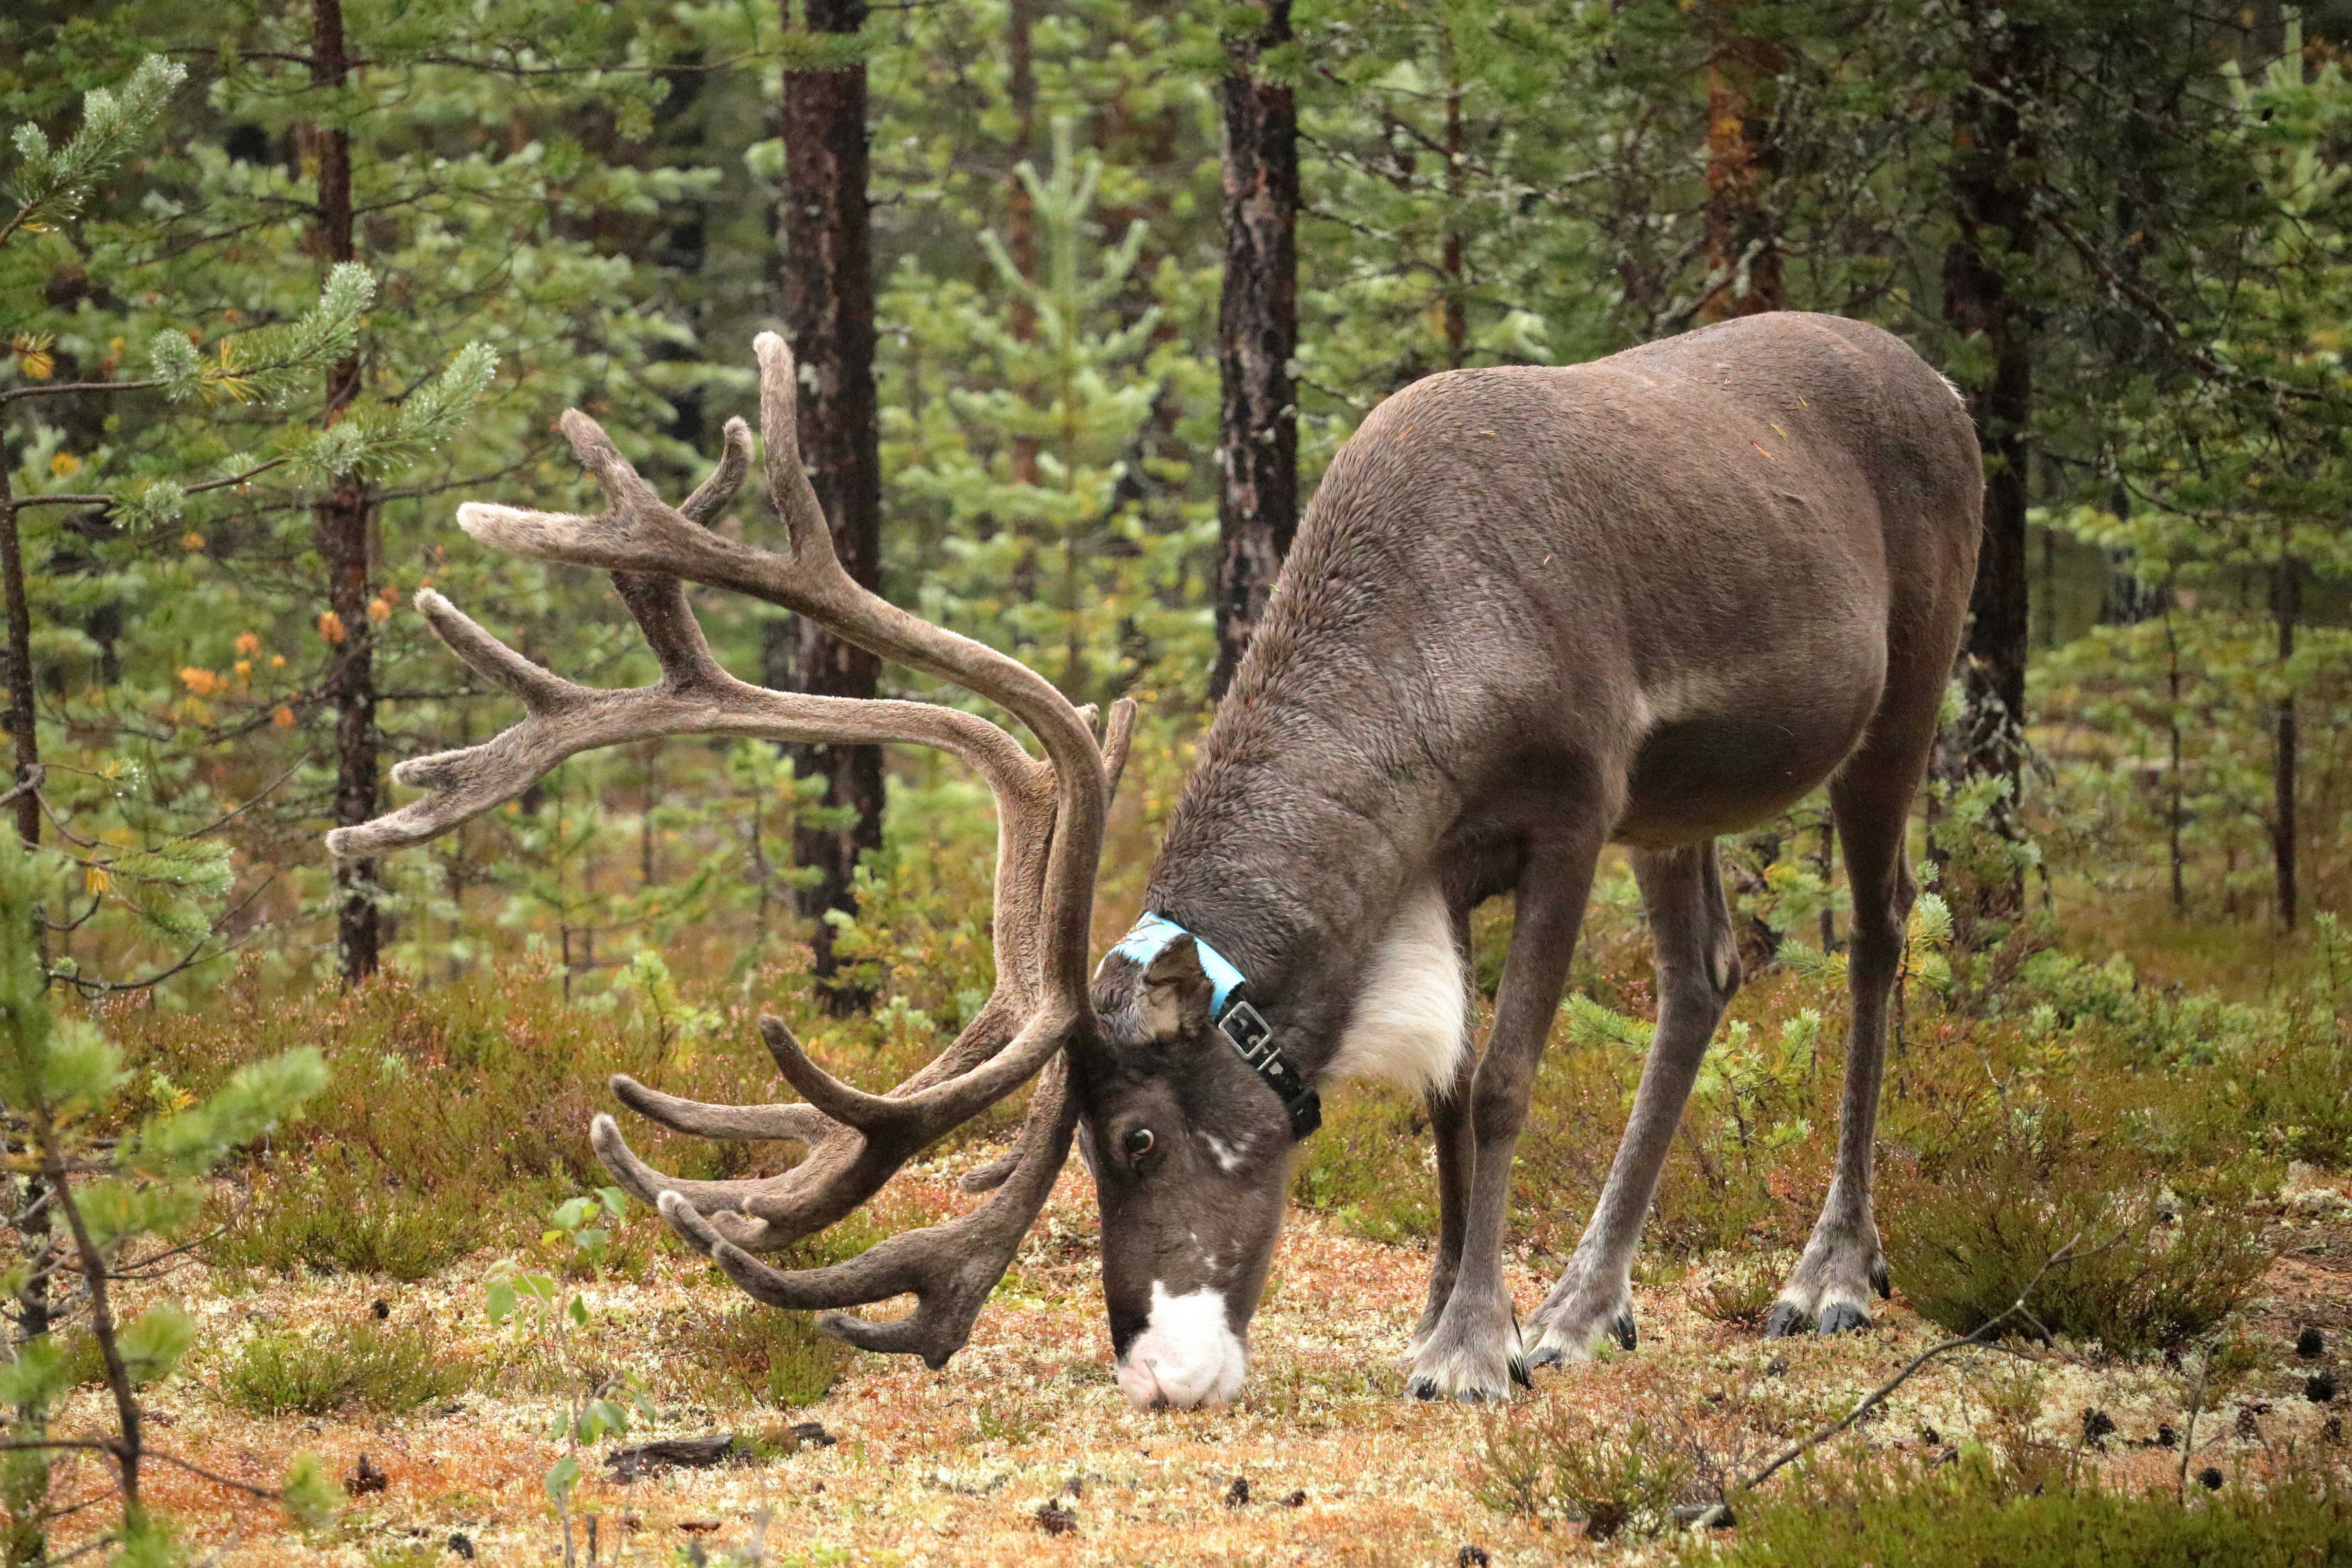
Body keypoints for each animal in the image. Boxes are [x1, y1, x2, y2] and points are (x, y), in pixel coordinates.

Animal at [332, 309, 1981, 1406]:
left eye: (1129, 1141)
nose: (1148, 1366)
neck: (1425, 655)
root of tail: (1944, 380)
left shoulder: (1576, 795)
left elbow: (1506, 1080)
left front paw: (1465, 1350)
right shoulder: (1447, 862)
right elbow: (1446, 1096)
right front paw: (1465, 1316)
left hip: (1901, 686)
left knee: (1883, 937)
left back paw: (1830, 1273)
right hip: (1685, 799)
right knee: (1707, 971)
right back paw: (1588, 1306)